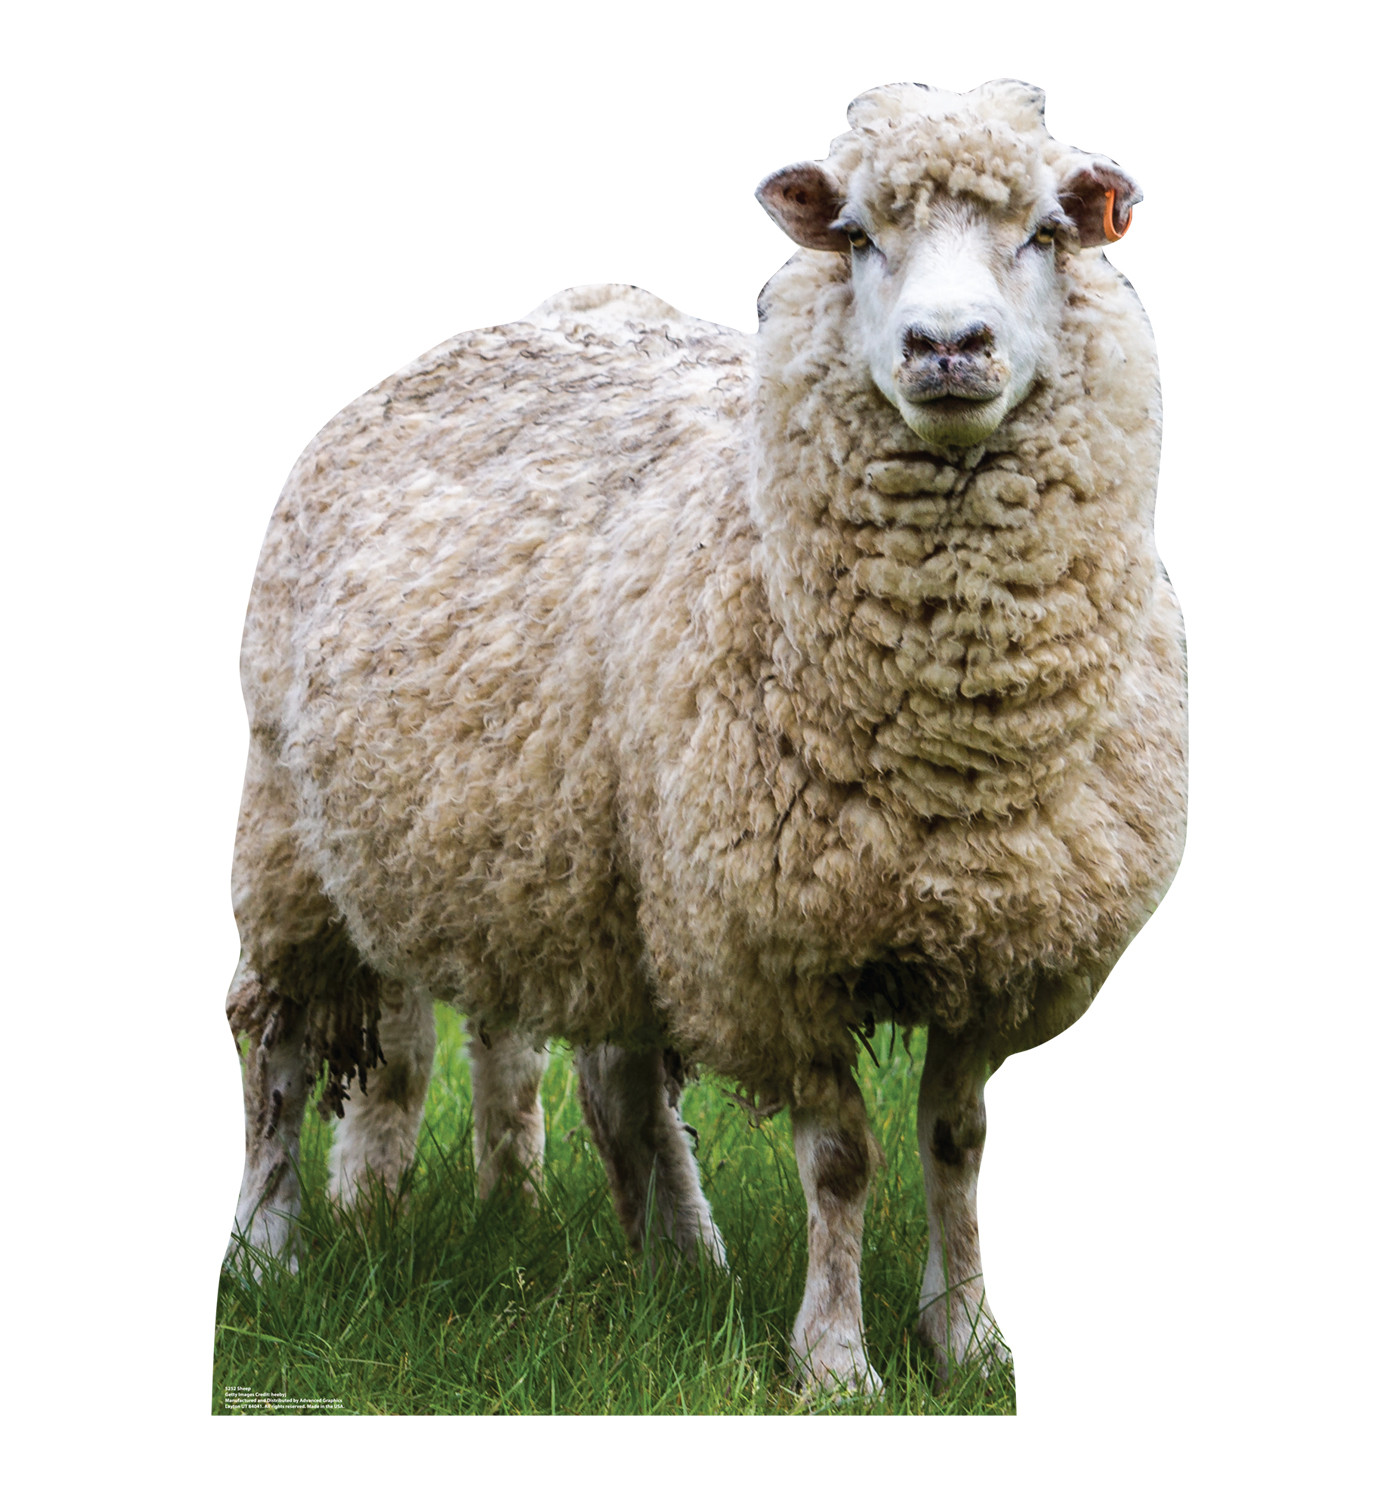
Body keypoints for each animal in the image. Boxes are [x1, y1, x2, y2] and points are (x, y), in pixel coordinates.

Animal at [225, 78, 1187, 1397]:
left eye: (1044, 233)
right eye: (856, 237)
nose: (945, 346)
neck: (953, 748)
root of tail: (551, 308)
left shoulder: (995, 950)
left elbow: (955, 1141)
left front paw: (965, 1338)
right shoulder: (772, 949)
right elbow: (840, 1159)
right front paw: (834, 1364)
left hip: (561, 855)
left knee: (583, 1065)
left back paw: (637, 1242)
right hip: (299, 834)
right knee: (275, 1048)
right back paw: (267, 1252)